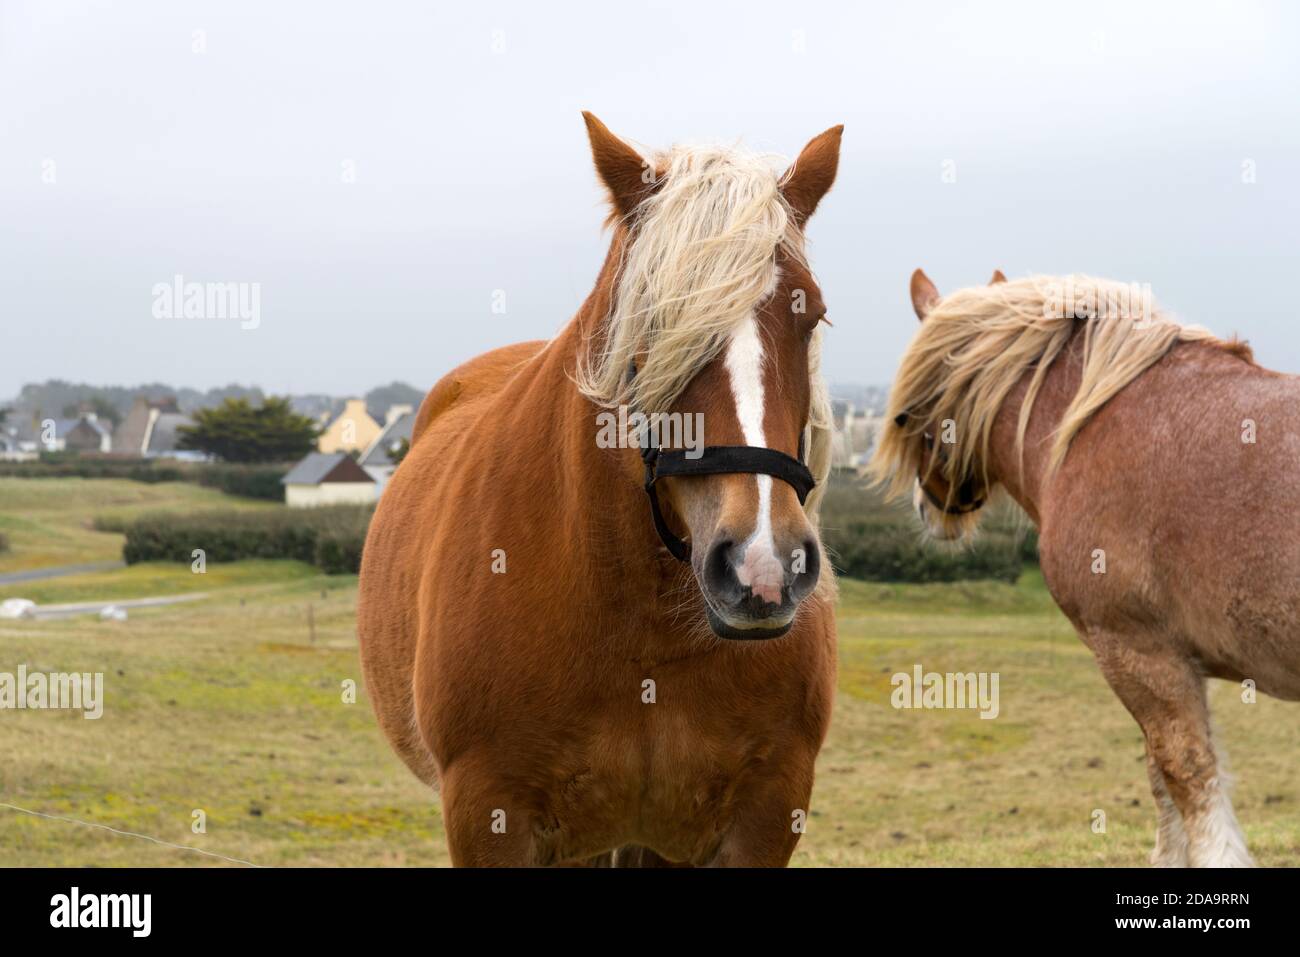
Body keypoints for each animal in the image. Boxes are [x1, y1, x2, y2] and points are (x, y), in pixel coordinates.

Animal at [357, 113, 844, 866]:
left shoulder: (766, 815)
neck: (642, 630)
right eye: (653, 316)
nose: (763, 566)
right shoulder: (486, 813)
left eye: (811, 314)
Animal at [870, 269, 1300, 867]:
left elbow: (1186, 775)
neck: (1092, 422)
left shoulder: (1138, 652)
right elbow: (1164, 782)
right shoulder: (1175, 661)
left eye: (912, 411)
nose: (926, 506)